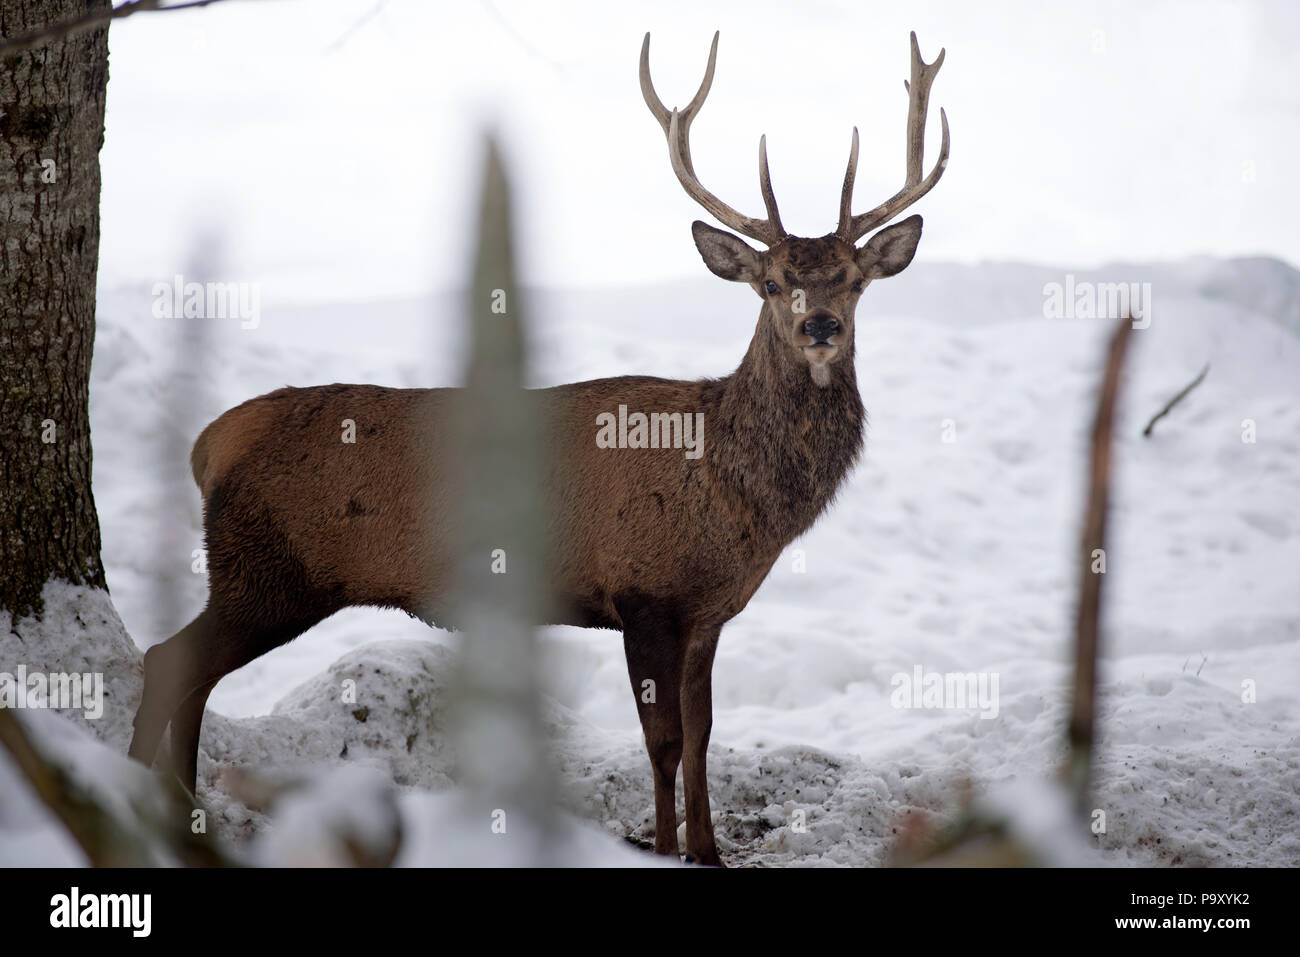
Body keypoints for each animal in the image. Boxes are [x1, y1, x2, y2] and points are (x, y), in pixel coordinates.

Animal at [128, 30, 949, 867]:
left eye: (853, 280)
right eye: (773, 282)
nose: (821, 326)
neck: (729, 488)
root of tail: (208, 444)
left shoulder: (707, 613)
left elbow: (703, 737)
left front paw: (709, 850)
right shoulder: (642, 590)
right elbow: (662, 741)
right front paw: (661, 847)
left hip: (257, 573)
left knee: (186, 675)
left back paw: (179, 813)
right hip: (267, 569)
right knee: (167, 662)